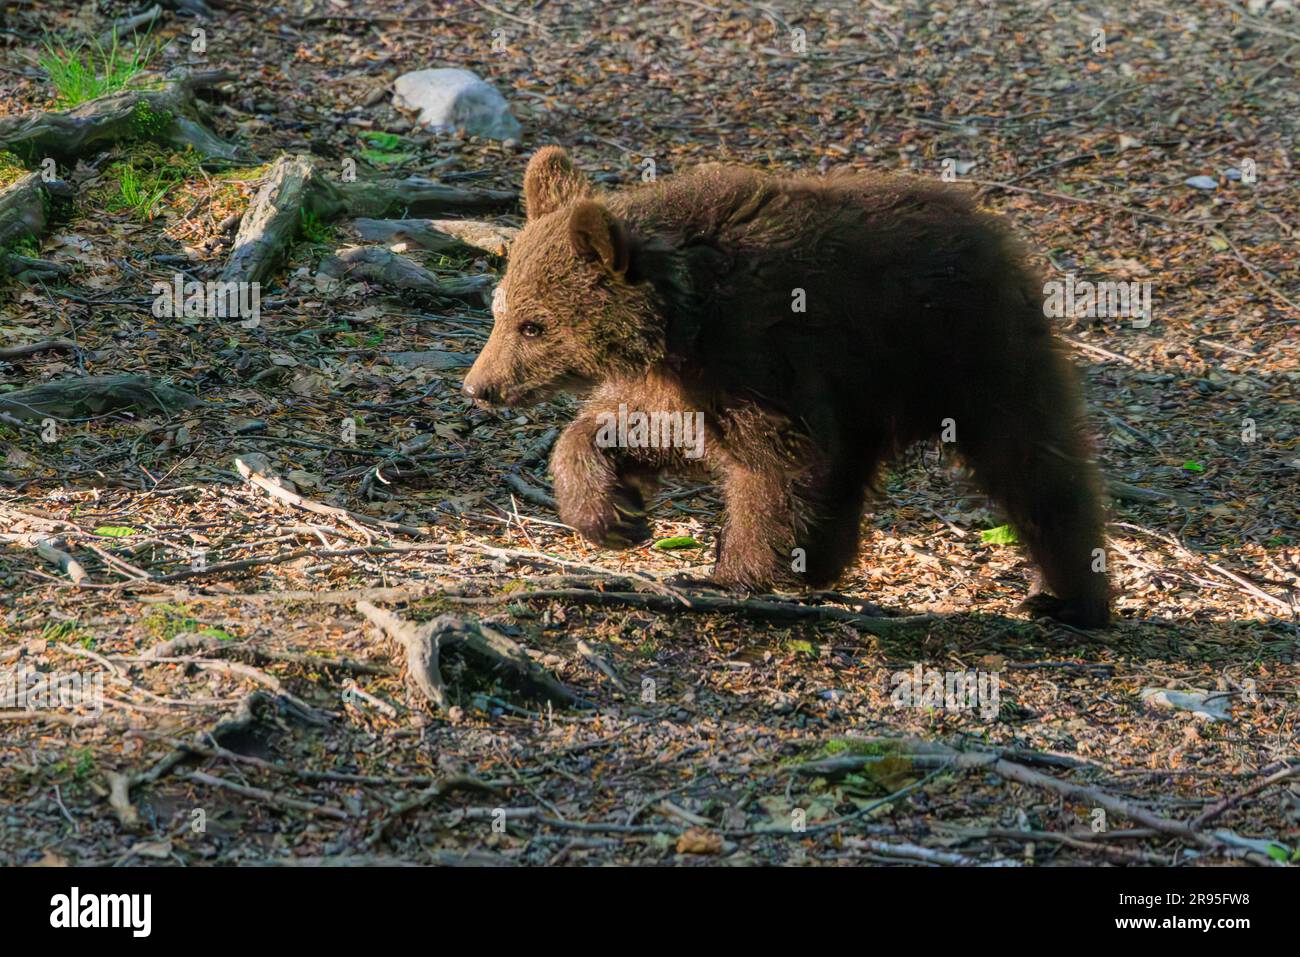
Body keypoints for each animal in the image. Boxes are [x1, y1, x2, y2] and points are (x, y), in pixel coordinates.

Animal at [463, 146, 1111, 628]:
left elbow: (775, 464)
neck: (683, 313)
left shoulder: (764, 356)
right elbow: (639, 425)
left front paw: (728, 572)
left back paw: (1072, 597)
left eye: (533, 325)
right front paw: (614, 512)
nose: (479, 386)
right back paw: (823, 562)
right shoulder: (693, 379)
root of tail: (993, 227)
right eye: (501, 310)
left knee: (1035, 464)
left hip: (966, 355)